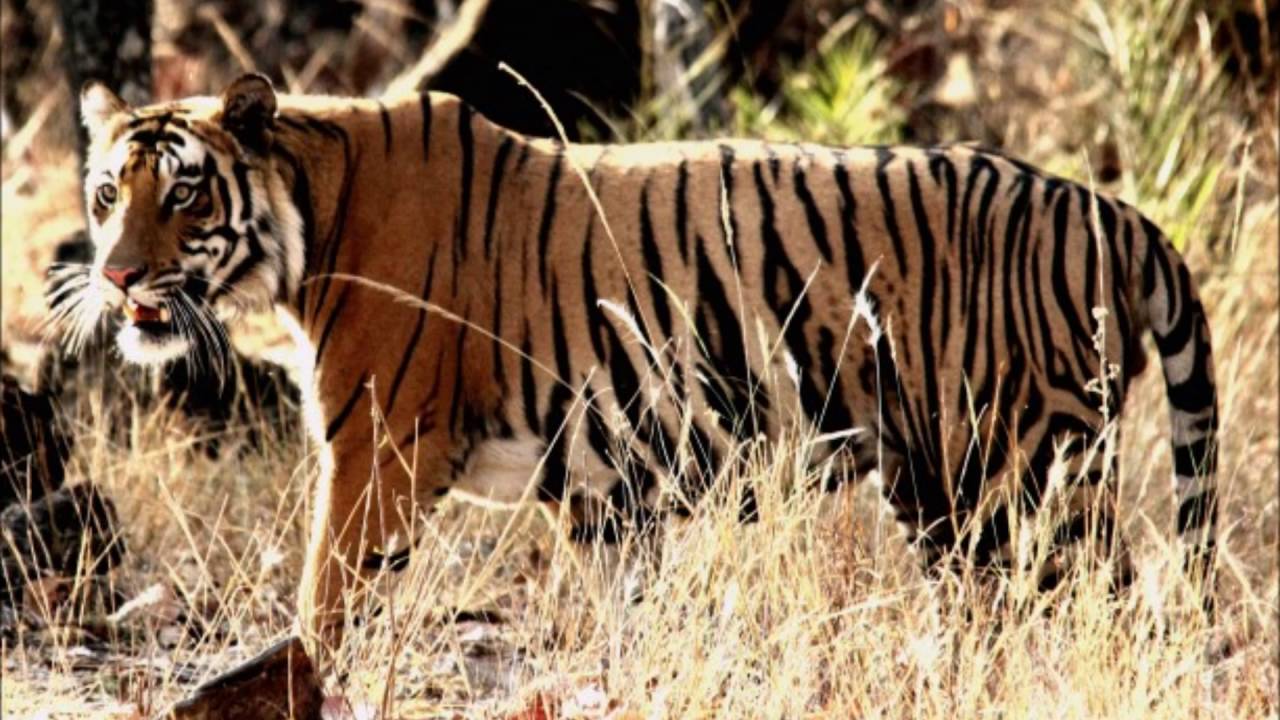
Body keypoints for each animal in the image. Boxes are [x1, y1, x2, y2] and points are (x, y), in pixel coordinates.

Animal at [57, 73, 1219, 663]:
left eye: (185, 193)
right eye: (109, 191)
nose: (114, 276)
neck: (309, 211)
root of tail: (1121, 217)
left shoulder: (375, 450)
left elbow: (324, 599)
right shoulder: (605, 497)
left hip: (1026, 465)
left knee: (1114, 605)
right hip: (936, 484)